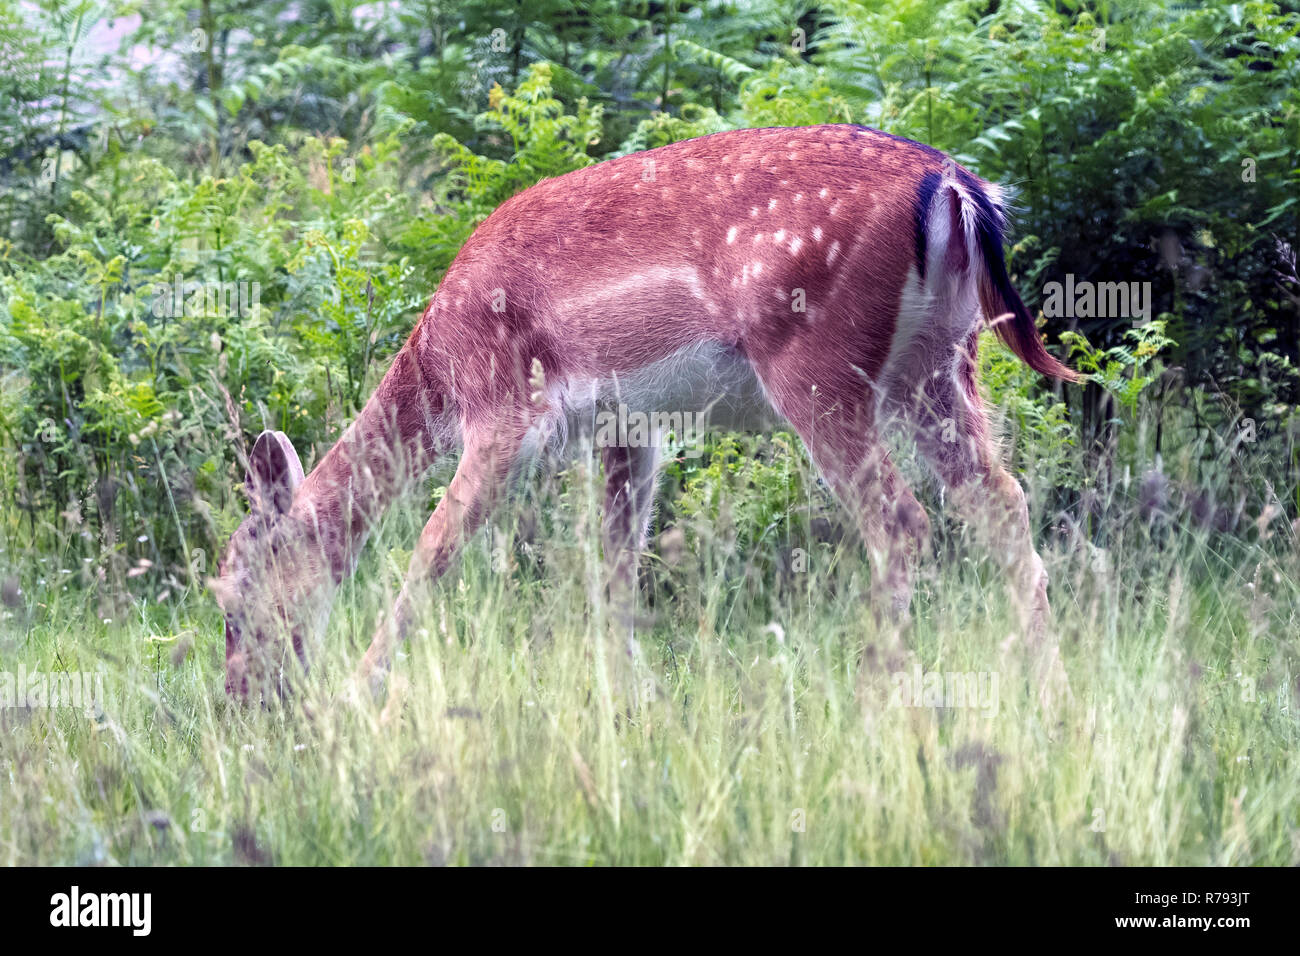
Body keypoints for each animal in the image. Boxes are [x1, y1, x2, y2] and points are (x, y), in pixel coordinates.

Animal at [210, 124, 1079, 704]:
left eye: (231, 591)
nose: (242, 695)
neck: (438, 372)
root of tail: (958, 188)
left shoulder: (505, 411)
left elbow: (431, 552)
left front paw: (358, 692)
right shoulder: (630, 426)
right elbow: (615, 562)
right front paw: (630, 695)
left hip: (818, 360)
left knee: (901, 518)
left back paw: (877, 690)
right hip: (941, 366)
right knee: (1001, 502)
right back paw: (1048, 689)